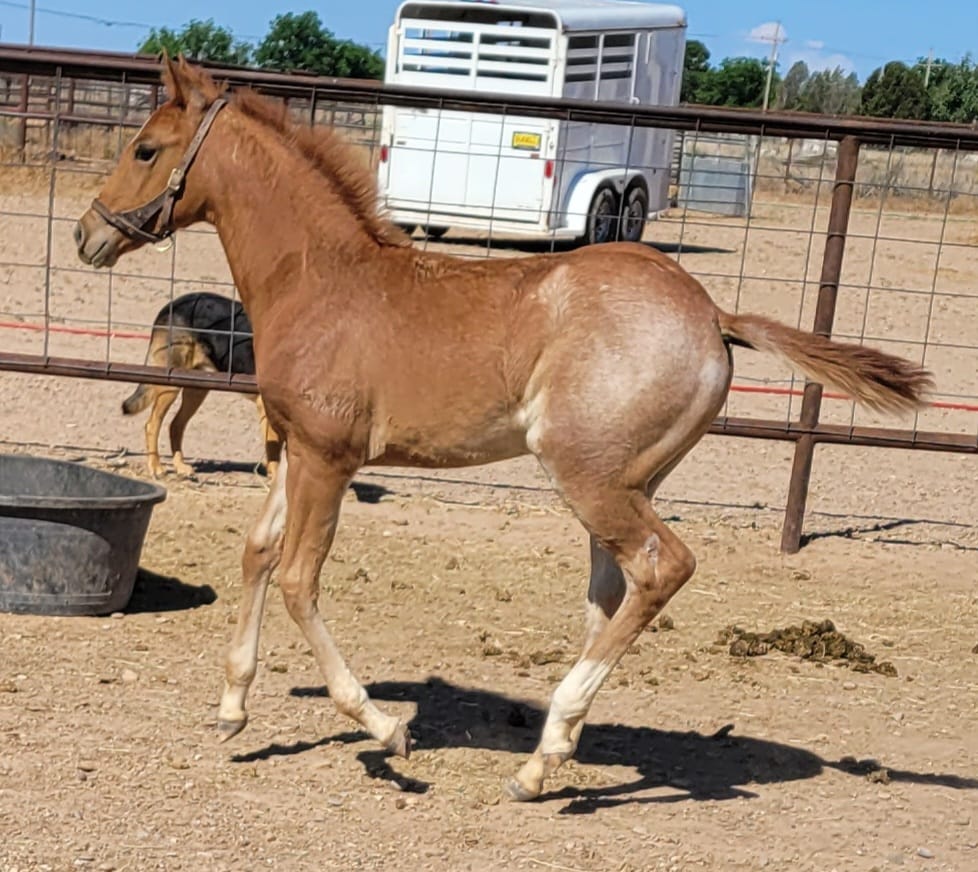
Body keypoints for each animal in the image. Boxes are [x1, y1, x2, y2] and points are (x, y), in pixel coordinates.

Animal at [74, 56, 932, 802]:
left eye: (146, 148)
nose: (88, 234)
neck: (322, 280)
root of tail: (711, 313)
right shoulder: (294, 448)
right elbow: (256, 553)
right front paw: (232, 708)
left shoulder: (329, 457)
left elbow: (296, 578)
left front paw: (384, 728)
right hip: (626, 479)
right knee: (613, 590)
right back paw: (554, 748)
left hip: (587, 475)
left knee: (662, 567)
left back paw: (545, 753)